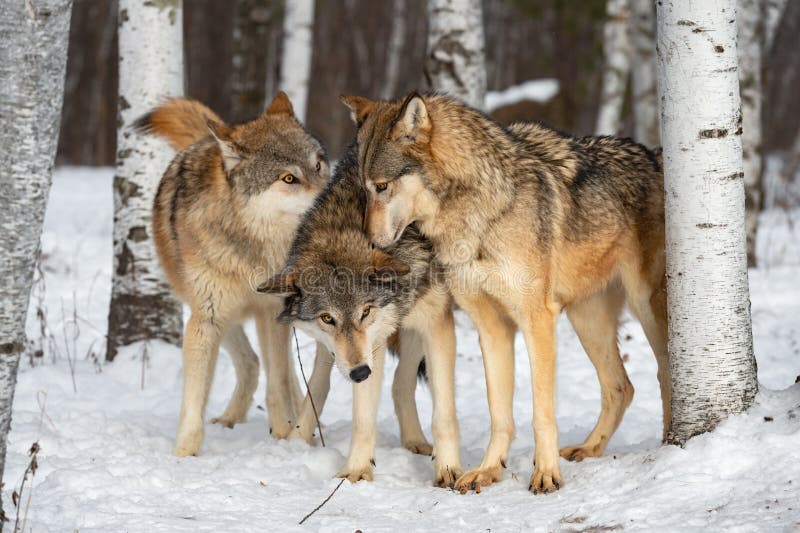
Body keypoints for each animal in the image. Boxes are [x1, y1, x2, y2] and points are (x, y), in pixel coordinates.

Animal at [140, 92, 330, 456]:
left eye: (318, 166)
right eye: (288, 178)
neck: (251, 248)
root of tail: (206, 138)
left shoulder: (273, 313)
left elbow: (279, 382)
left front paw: (283, 435)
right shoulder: (207, 316)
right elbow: (194, 398)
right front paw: (183, 454)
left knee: (277, 370)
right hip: (216, 315)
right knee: (251, 363)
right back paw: (230, 419)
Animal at [258, 145, 462, 487]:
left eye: (365, 311)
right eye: (327, 318)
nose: (359, 373)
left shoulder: (434, 322)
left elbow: (443, 413)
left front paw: (448, 470)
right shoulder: (369, 345)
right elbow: (362, 417)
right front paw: (355, 471)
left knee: (401, 381)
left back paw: (415, 441)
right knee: (328, 381)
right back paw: (300, 437)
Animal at [341, 92, 669, 494]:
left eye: (382, 186)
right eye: (364, 189)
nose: (368, 244)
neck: (479, 216)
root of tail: (657, 155)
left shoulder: (537, 319)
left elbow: (542, 413)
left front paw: (546, 473)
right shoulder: (492, 327)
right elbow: (499, 412)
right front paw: (488, 469)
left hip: (646, 308)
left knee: (663, 375)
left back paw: (671, 445)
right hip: (586, 320)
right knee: (622, 386)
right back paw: (589, 448)